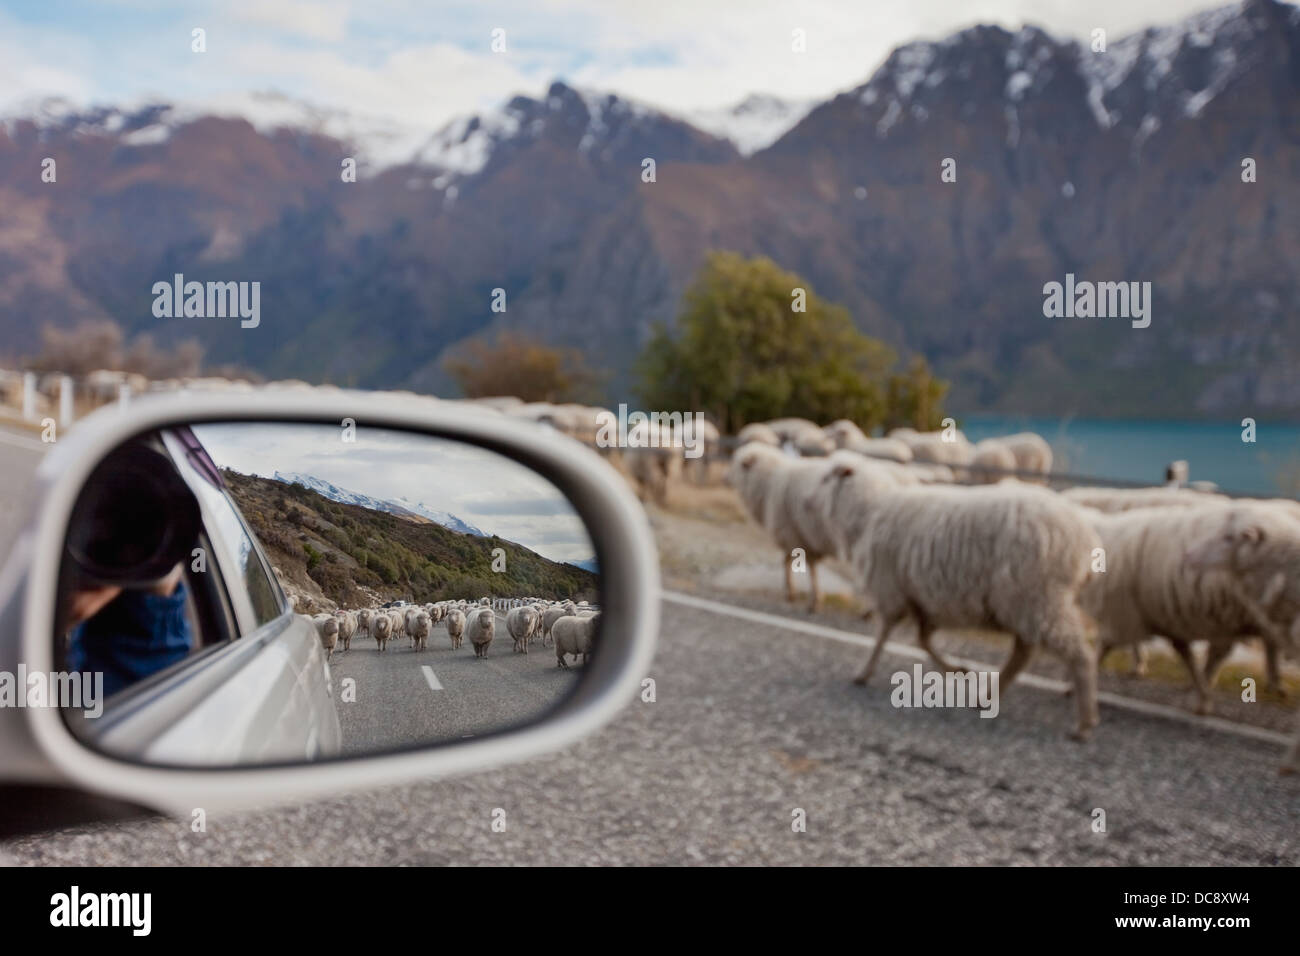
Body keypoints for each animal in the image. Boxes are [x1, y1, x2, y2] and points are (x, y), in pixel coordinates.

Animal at [818, 456, 1102, 739]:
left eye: (825, 477)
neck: (868, 512)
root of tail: (1085, 539)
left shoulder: (891, 590)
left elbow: (883, 635)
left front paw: (863, 672)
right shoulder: (923, 600)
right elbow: (922, 640)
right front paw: (955, 669)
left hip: (1039, 597)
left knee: (1078, 655)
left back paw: (1084, 722)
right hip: (1028, 603)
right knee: (1022, 654)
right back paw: (987, 697)